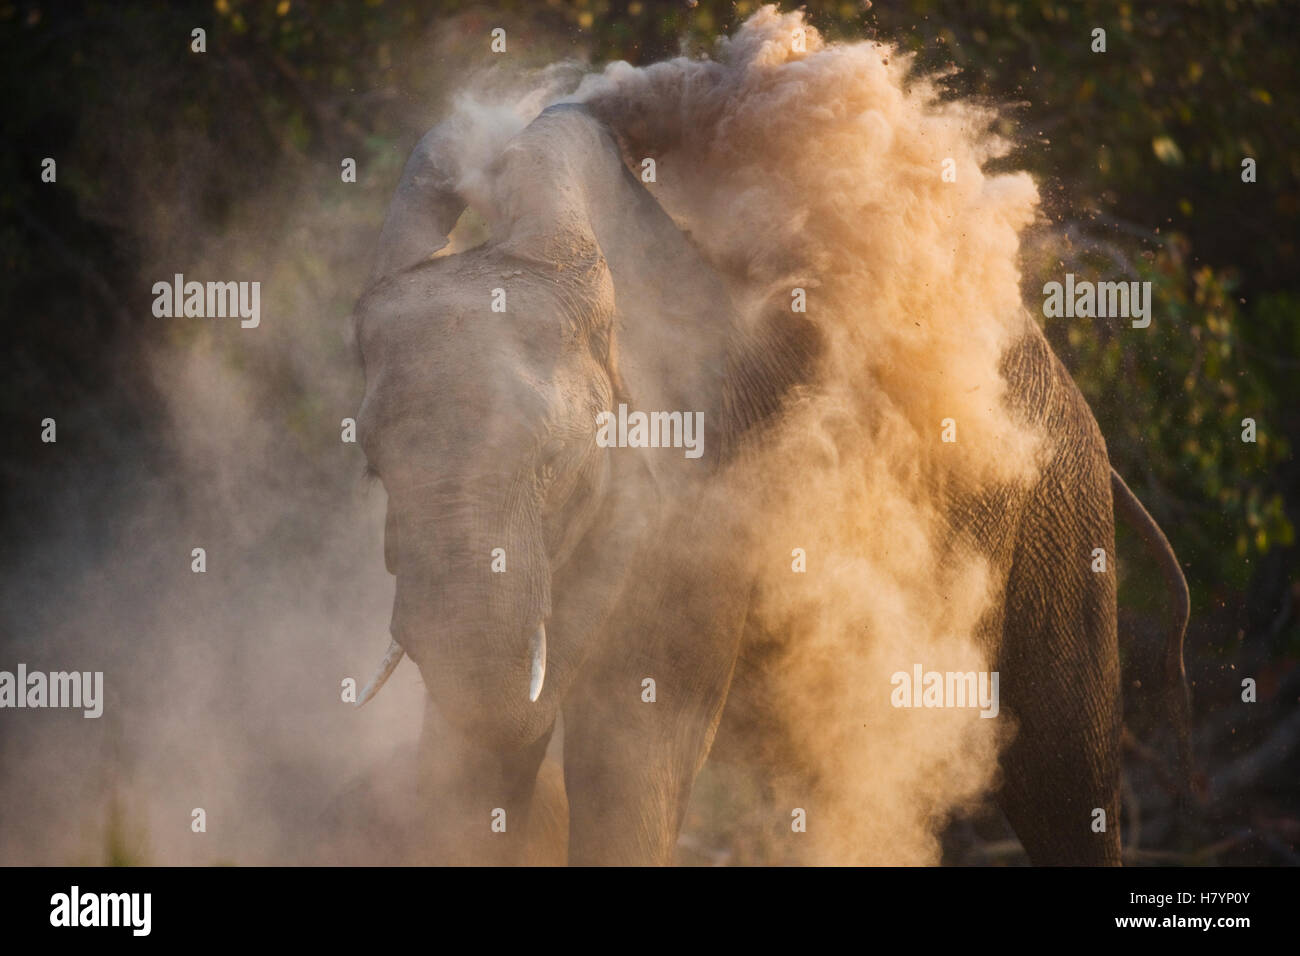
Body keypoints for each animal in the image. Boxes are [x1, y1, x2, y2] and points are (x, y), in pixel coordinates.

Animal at [349, 101, 1190, 865]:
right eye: (374, 467)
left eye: (556, 462)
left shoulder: (706, 501)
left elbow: (633, 755)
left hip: (1061, 510)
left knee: (1062, 773)